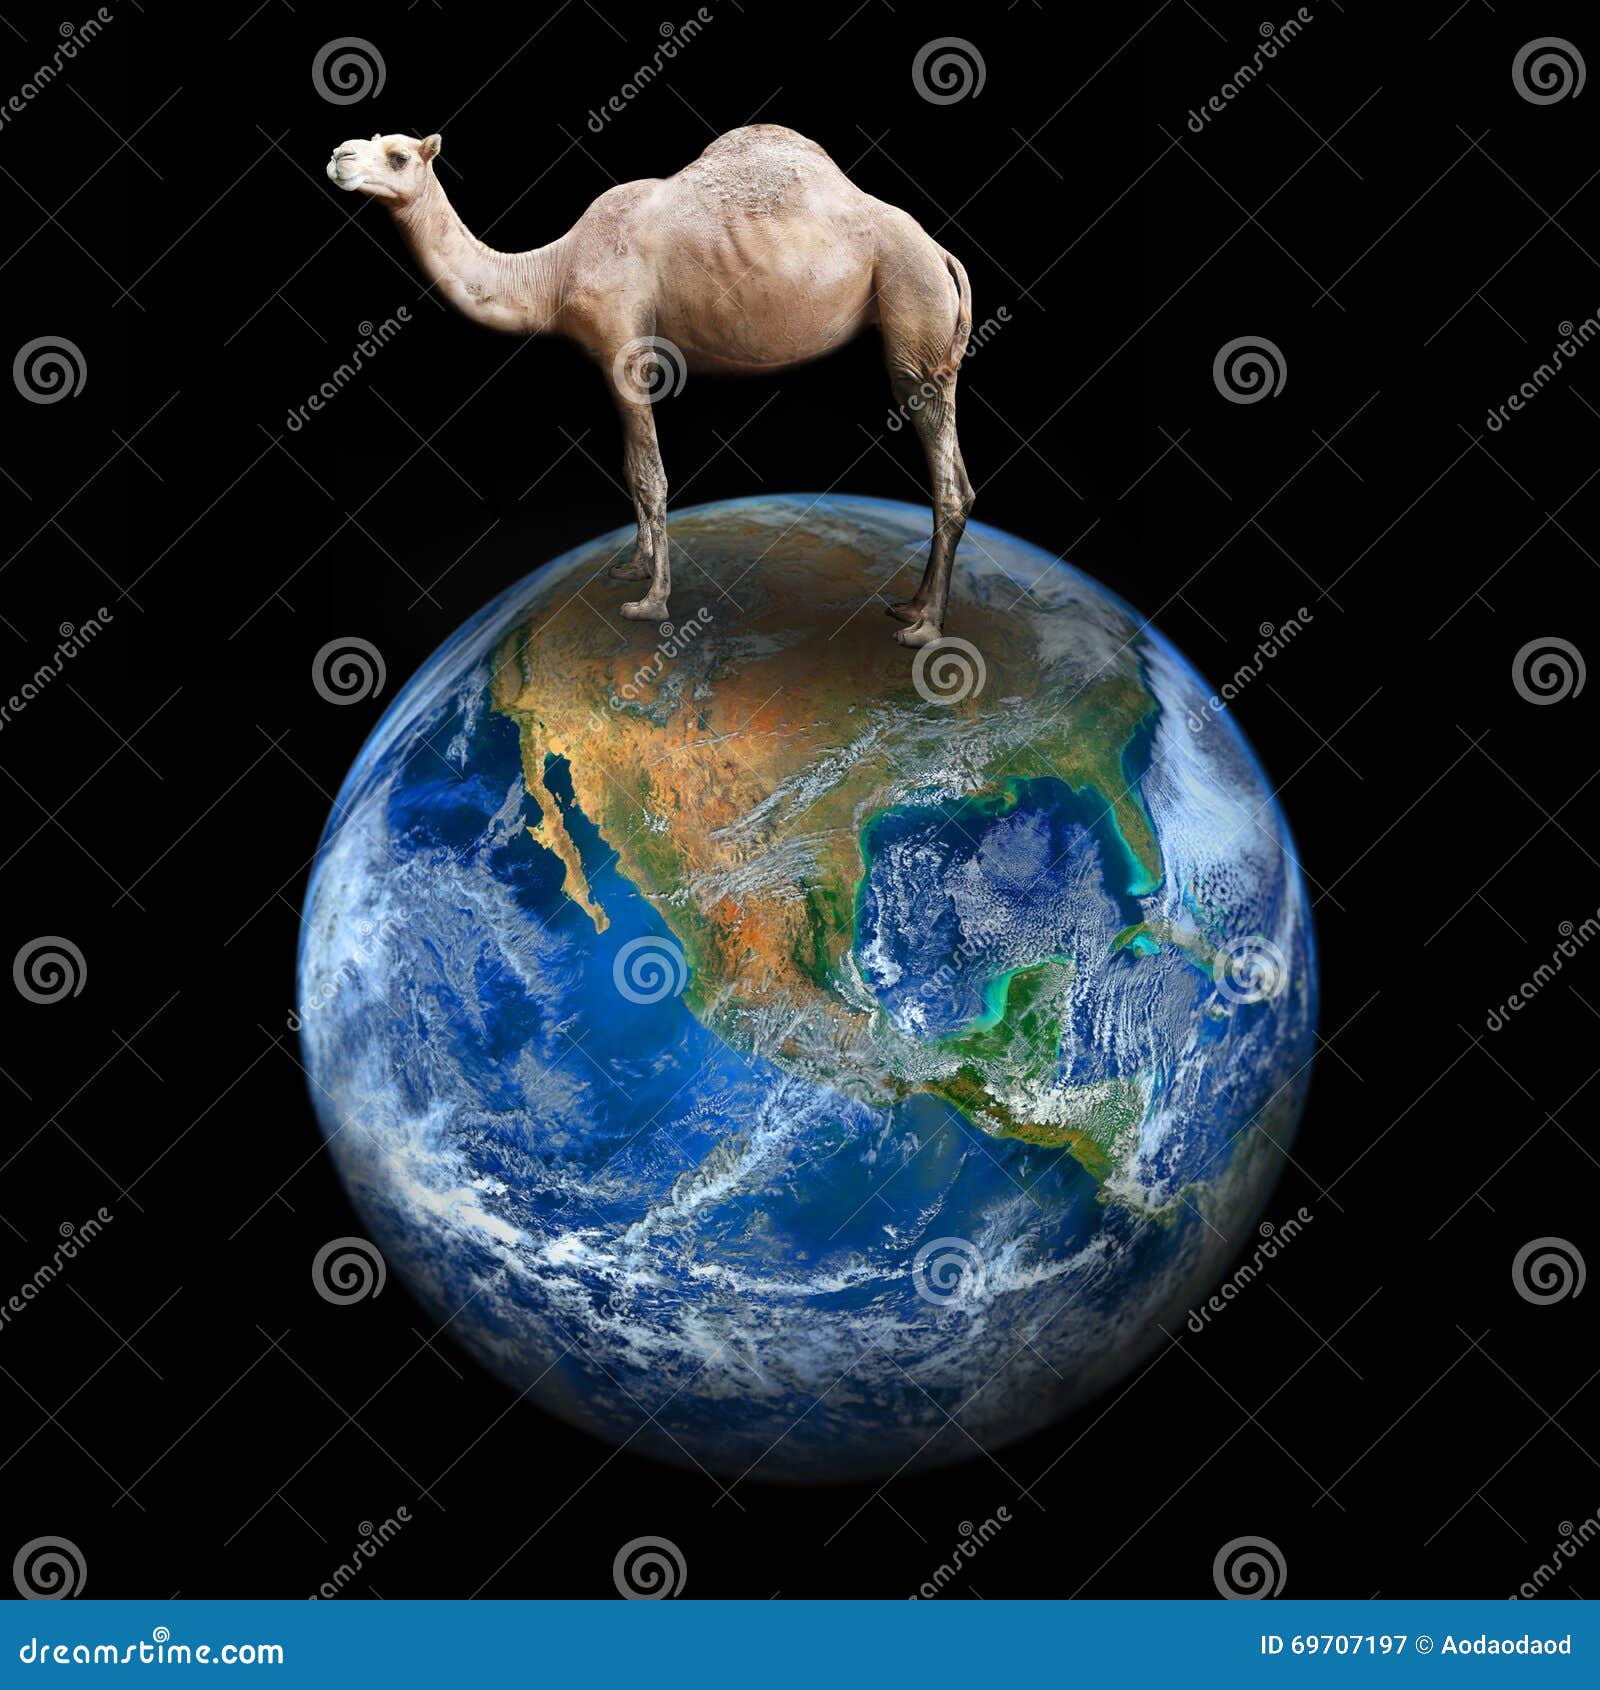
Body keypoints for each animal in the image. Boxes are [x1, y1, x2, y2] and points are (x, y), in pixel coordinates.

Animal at [325, 124, 975, 646]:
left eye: (399, 156)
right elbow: (630, 470)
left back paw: (925, 628)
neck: (555, 273)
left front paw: (651, 602)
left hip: (913, 309)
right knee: (959, 480)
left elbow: (651, 477)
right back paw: (910, 605)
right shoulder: (611, 363)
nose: (338, 155)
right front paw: (633, 570)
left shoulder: (626, 351)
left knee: (945, 473)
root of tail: (943, 253)